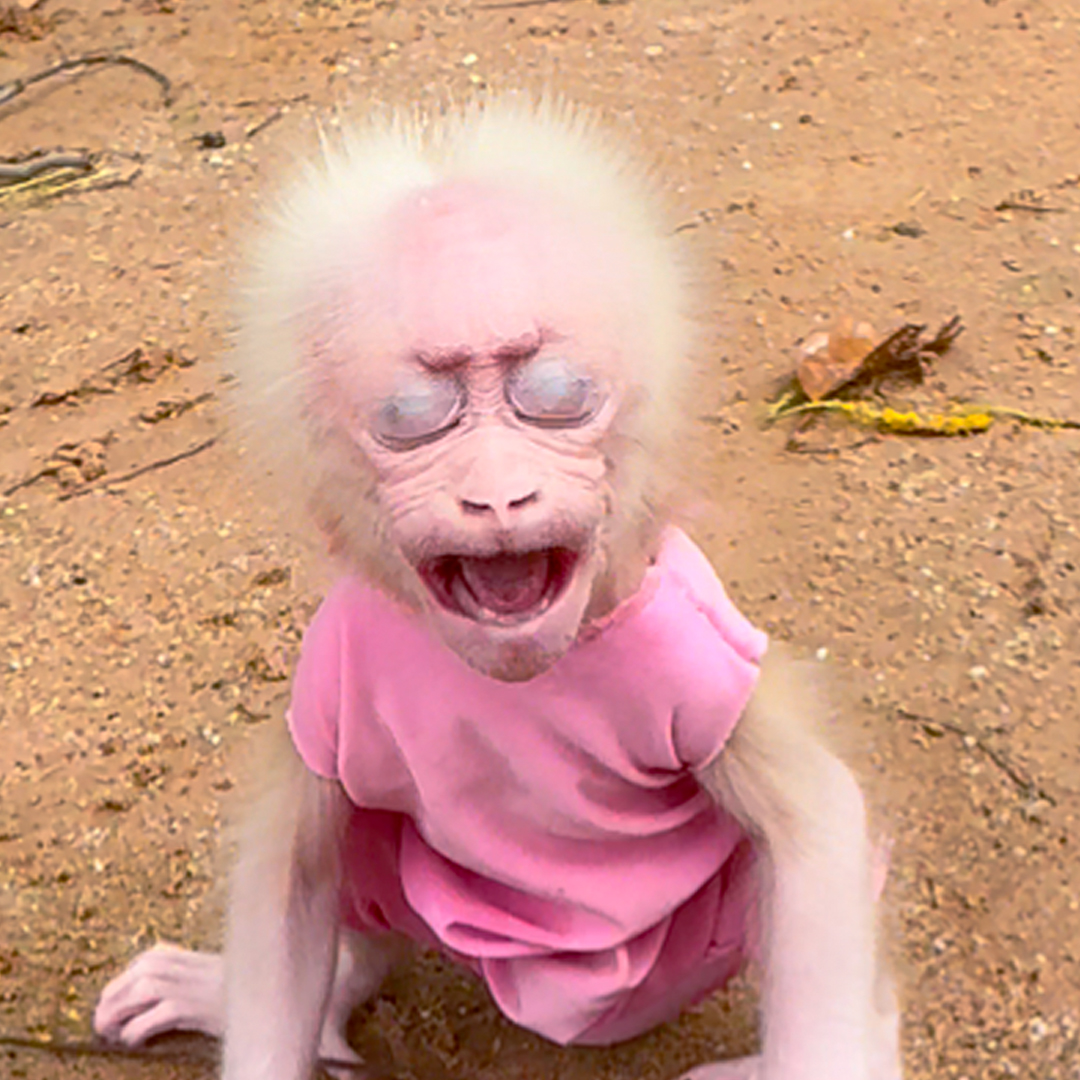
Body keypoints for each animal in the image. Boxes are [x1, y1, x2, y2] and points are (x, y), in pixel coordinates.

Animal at [93, 99, 902, 1080]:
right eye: (413, 419)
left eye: (554, 398)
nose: (497, 494)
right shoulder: (331, 665)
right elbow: (296, 851)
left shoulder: (697, 659)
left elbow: (812, 824)